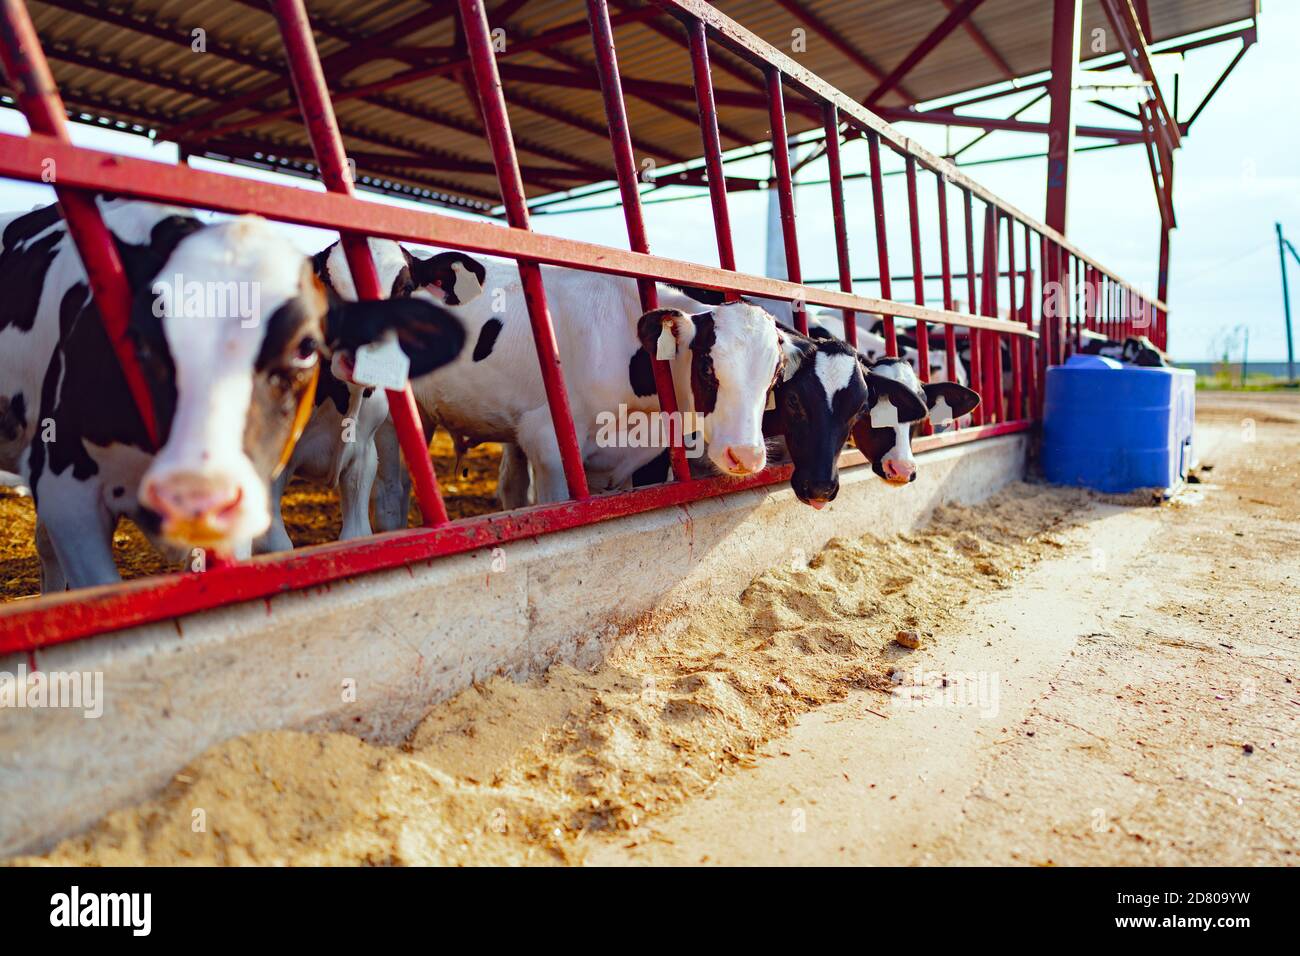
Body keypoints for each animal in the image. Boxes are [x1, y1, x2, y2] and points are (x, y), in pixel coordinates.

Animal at [255, 238, 484, 553]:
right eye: (326, 285)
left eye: (406, 289)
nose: (359, 353)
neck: (342, 404)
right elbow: (276, 545)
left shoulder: (363, 457)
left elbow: (357, 535)